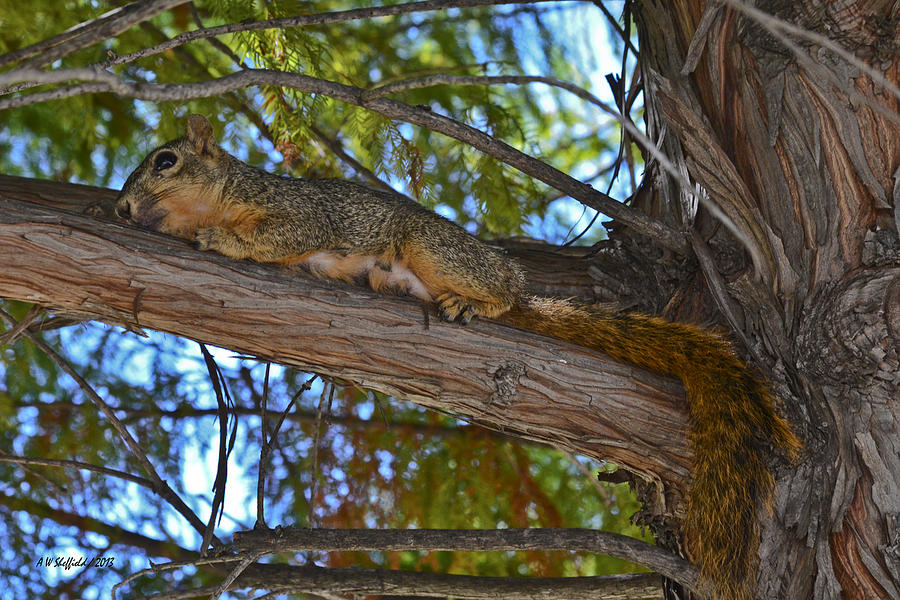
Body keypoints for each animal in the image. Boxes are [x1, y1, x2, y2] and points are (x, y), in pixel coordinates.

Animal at [115, 114, 801, 599]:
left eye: (164, 162)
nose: (120, 207)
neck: (227, 194)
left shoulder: (304, 218)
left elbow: (279, 236)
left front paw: (221, 239)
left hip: (438, 251)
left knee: (500, 293)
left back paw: (475, 303)